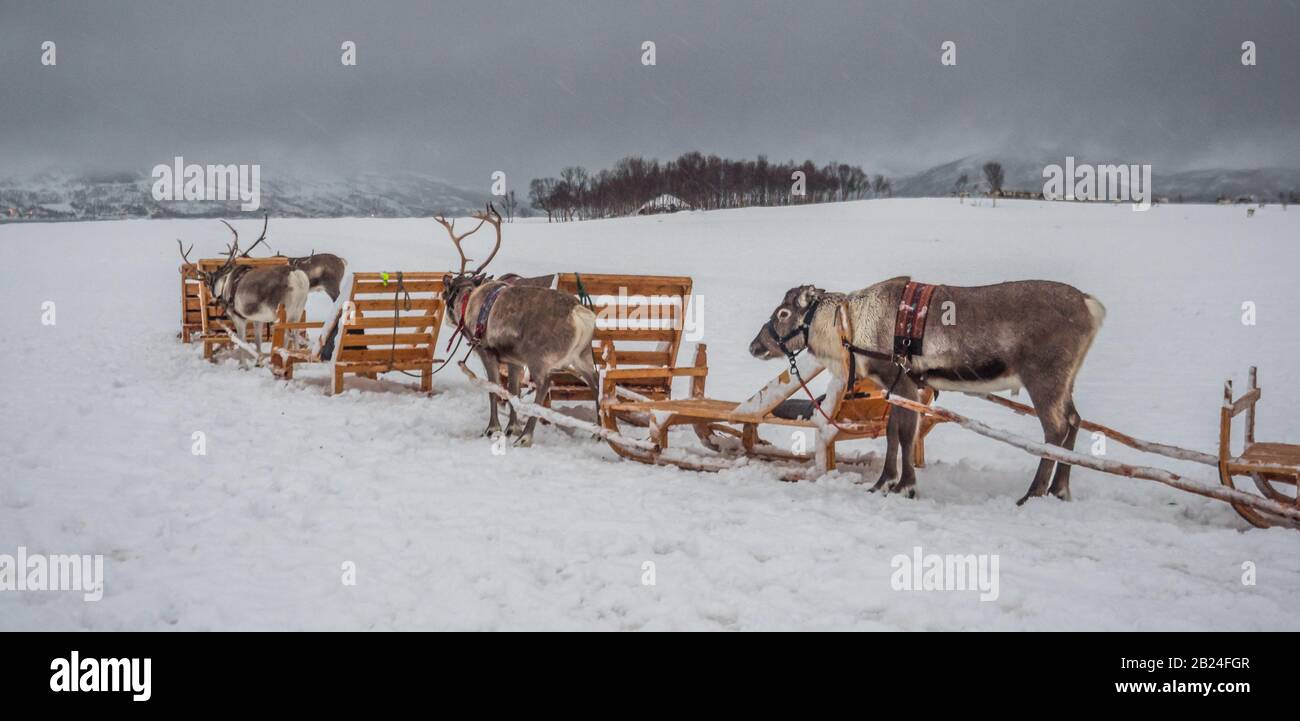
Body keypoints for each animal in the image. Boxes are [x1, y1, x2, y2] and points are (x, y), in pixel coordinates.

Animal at [183, 219, 310, 366]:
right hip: (298, 310)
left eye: (208, 284)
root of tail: (297, 275)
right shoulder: (257, 319)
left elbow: (241, 341)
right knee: (295, 333)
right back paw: (297, 361)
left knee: (287, 334)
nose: (212, 300)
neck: (224, 284)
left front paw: (243, 365)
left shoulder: (239, 318)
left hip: (285, 312)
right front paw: (258, 362)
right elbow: (257, 340)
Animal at [436, 204, 600, 446]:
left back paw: (526, 437)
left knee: (545, 385)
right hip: (582, 356)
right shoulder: (514, 360)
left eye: (447, 292)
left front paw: (493, 428)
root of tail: (579, 312)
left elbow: (494, 390)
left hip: (539, 358)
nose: (446, 315)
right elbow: (513, 393)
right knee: (597, 383)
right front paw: (511, 427)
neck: (468, 300)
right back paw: (599, 431)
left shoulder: (488, 353)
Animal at [750, 277, 1105, 505]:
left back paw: (1033, 494)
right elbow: (893, 432)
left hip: (1044, 378)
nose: (754, 346)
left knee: (1055, 429)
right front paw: (884, 482)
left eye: (782, 313)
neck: (845, 328)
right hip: (1065, 382)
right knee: (1075, 421)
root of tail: (1092, 306)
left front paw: (905, 486)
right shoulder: (895, 387)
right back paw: (1059, 490)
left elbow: (906, 435)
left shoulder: (902, 382)